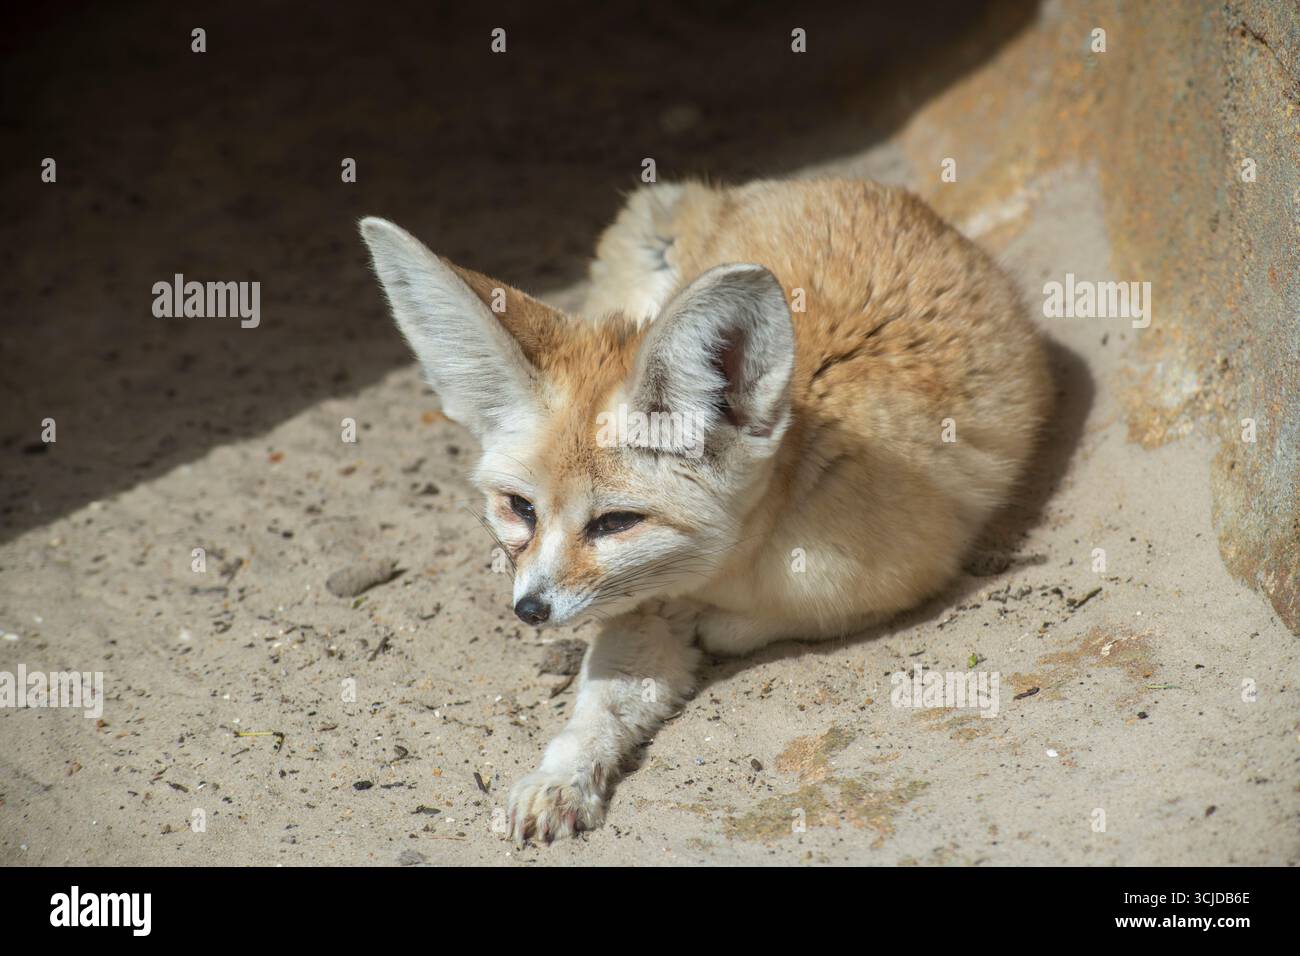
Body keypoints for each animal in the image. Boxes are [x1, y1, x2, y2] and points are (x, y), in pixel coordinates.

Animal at [360, 178, 1052, 845]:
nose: (529, 610)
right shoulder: (639, 606)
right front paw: (561, 777)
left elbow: (758, 621)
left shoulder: (909, 573)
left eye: (615, 523)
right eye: (520, 508)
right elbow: (599, 701)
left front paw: (718, 628)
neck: (741, 555)